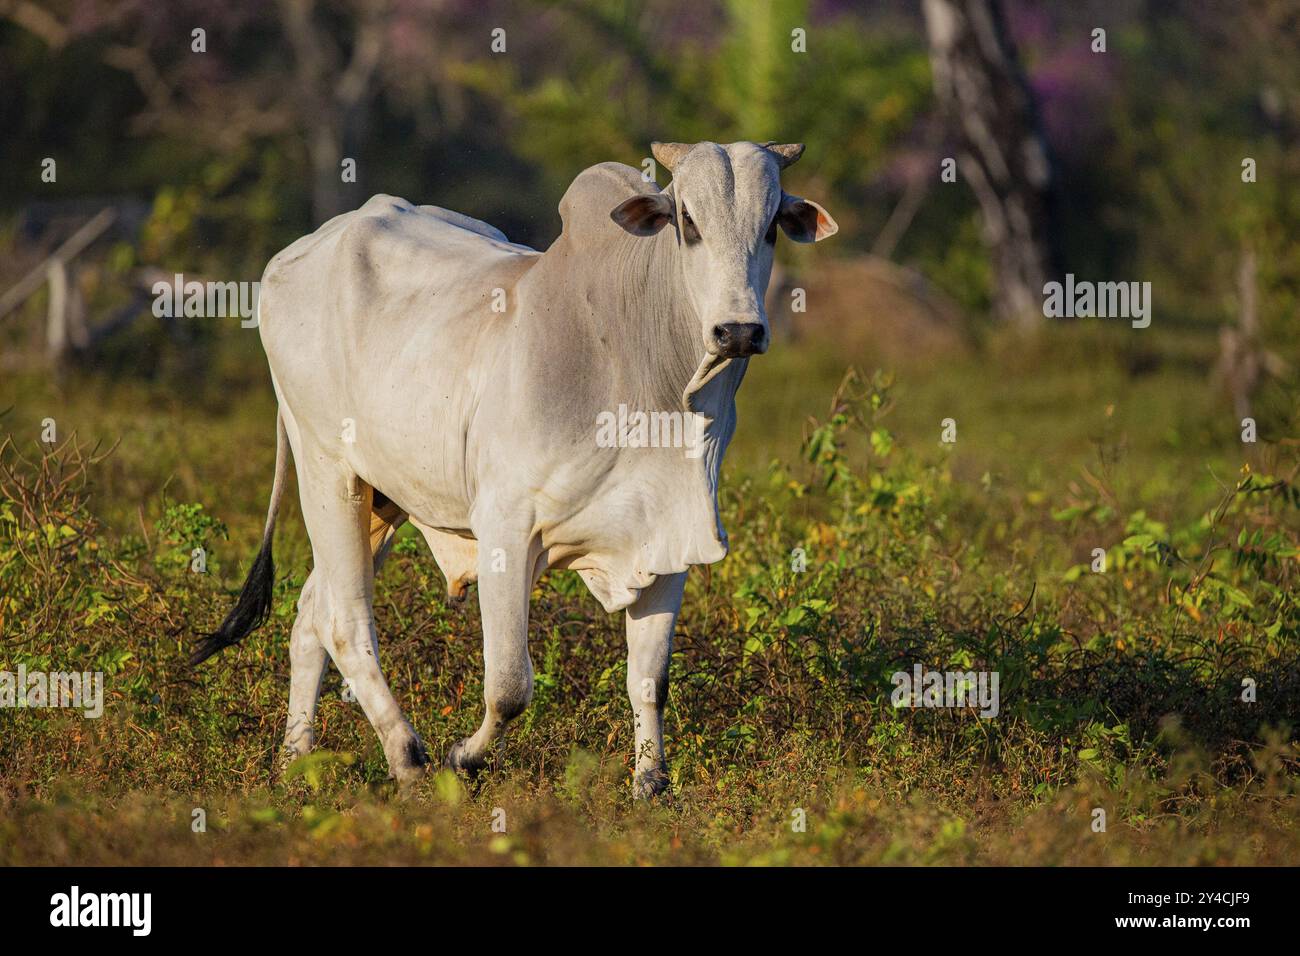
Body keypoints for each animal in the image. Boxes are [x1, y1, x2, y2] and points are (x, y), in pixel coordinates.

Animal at [191, 140, 837, 797]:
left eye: (771, 228)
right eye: (688, 222)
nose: (739, 331)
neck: (639, 365)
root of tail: (296, 253)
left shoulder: (667, 538)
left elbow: (649, 679)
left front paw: (649, 783)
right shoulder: (505, 528)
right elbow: (509, 685)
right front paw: (463, 758)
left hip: (382, 497)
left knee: (310, 614)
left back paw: (295, 761)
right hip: (327, 469)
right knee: (345, 622)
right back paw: (408, 758)